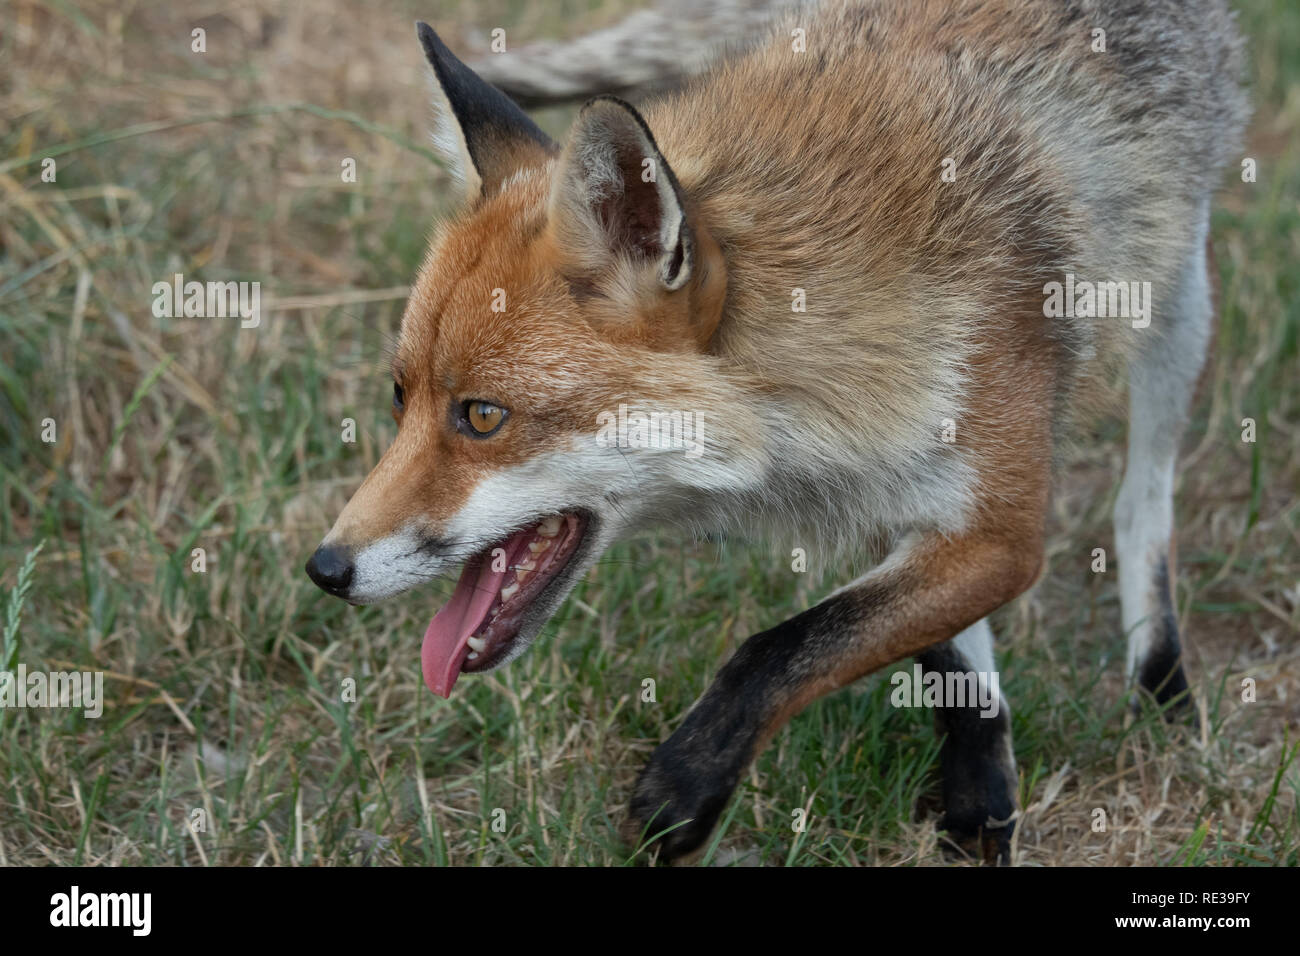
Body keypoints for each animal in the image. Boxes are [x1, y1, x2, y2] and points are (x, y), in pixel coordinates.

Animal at [306, 0, 1248, 863]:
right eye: (400, 397)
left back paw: (1160, 675)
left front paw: (682, 790)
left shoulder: (1003, 526)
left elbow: (784, 646)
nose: (325, 569)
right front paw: (980, 794)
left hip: (1179, 301)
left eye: (482, 416)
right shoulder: (903, 499)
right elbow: (944, 660)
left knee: (1143, 500)